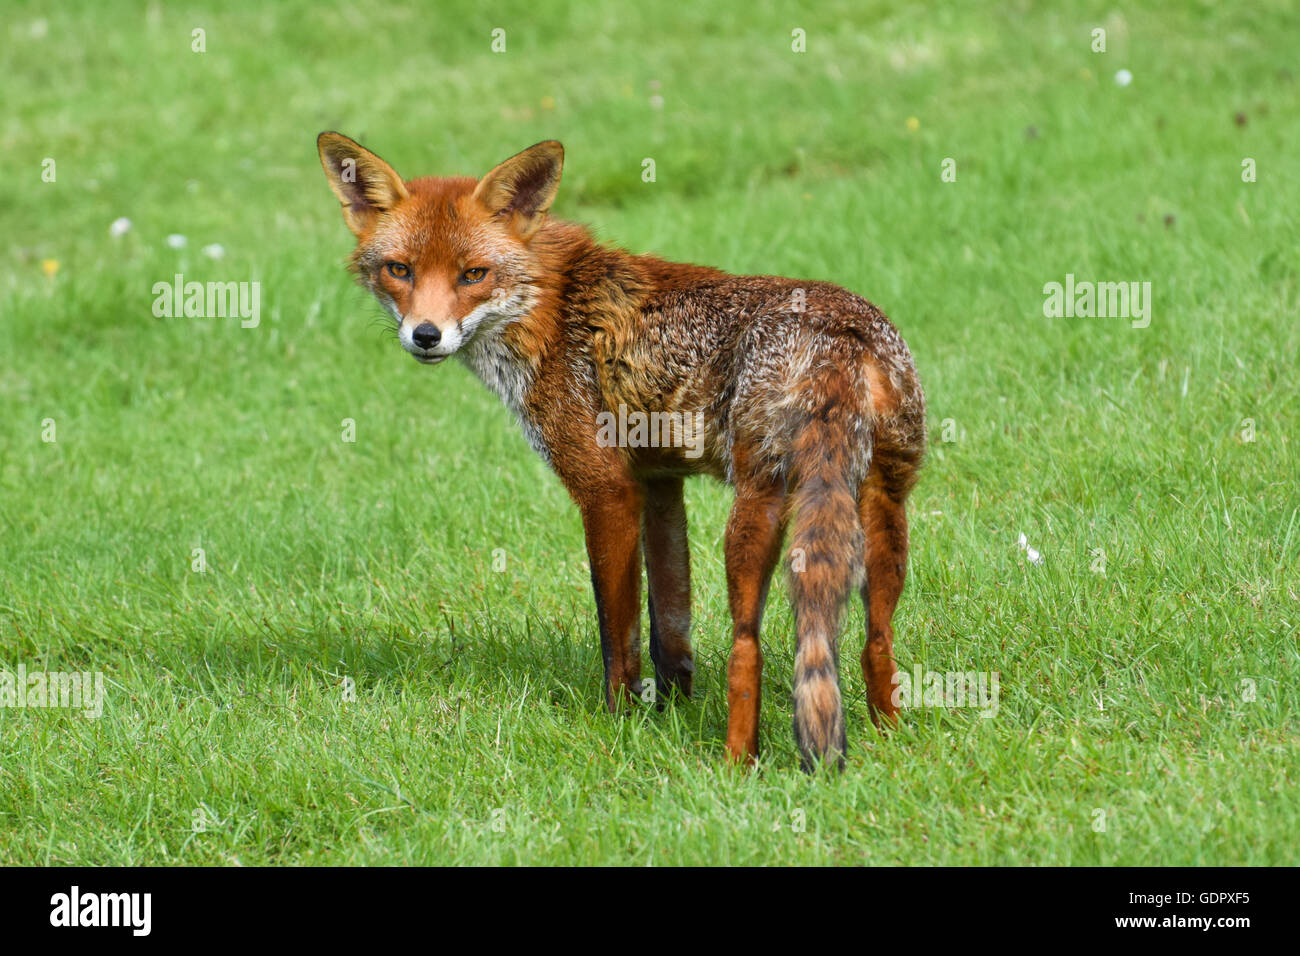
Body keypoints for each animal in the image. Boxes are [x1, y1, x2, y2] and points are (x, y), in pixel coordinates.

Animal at [317, 132, 926, 770]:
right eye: (400, 270)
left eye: (473, 274)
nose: (426, 336)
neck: (549, 310)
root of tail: (841, 333)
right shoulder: (660, 483)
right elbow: (670, 626)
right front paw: (673, 709)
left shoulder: (606, 490)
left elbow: (620, 633)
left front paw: (620, 721)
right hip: (883, 504)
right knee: (876, 638)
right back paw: (888, 739)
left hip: (757, 510)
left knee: (748, 647)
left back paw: (737, 762)